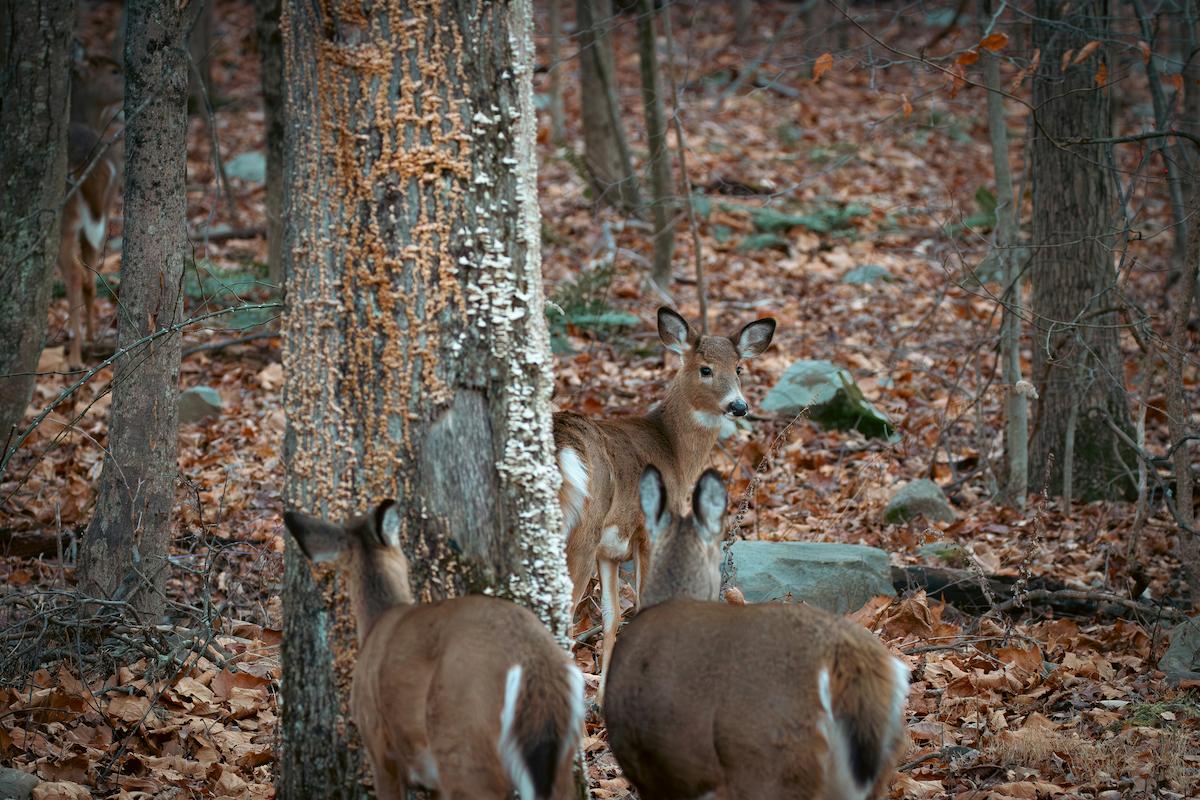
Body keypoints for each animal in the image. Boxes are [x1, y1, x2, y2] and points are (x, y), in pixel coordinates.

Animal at [553, 306, 776, 679]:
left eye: (739, 368)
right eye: (705, 369)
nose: (739, 406)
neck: (673, 450)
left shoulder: (610, 551)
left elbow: (612, 616)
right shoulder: (648, 529)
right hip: (583, 528)